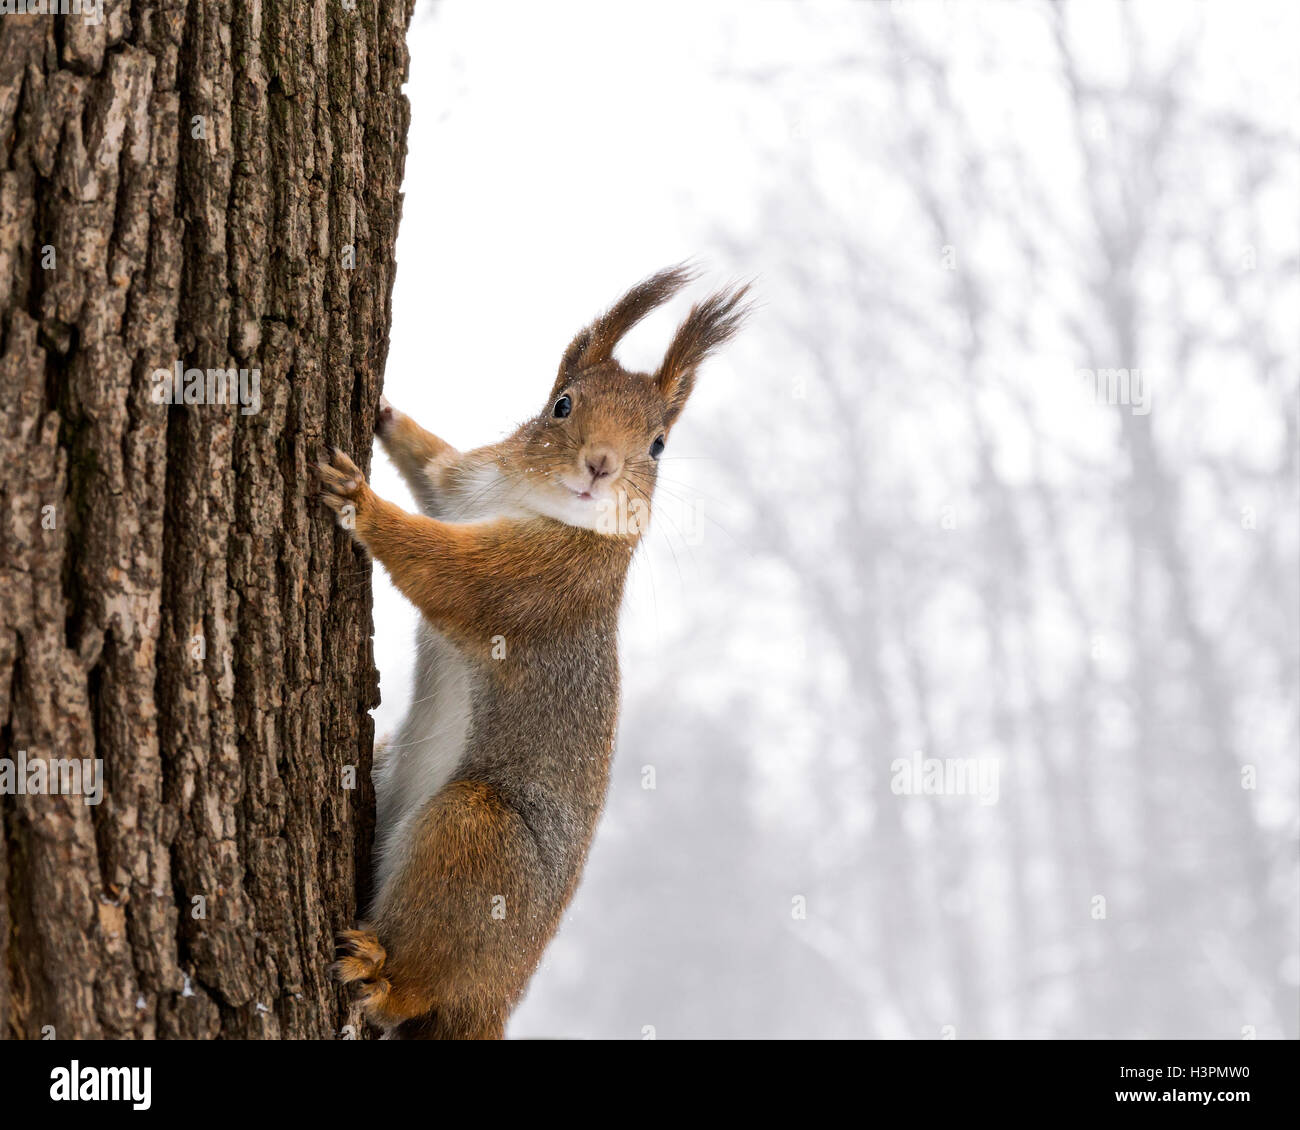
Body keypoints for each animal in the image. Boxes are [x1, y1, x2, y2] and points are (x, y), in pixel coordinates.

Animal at [315, 265, 750, 1039]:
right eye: (561, 404)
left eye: (659, 445)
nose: (600, 466)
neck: (519, 499)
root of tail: (495, 1000)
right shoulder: (460, 486)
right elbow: (431, 466)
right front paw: (389, 415)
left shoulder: (532, 588)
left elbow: (441, 569)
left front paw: (360, 502)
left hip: (479, 840)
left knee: (425, 980)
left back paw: (382, 975)